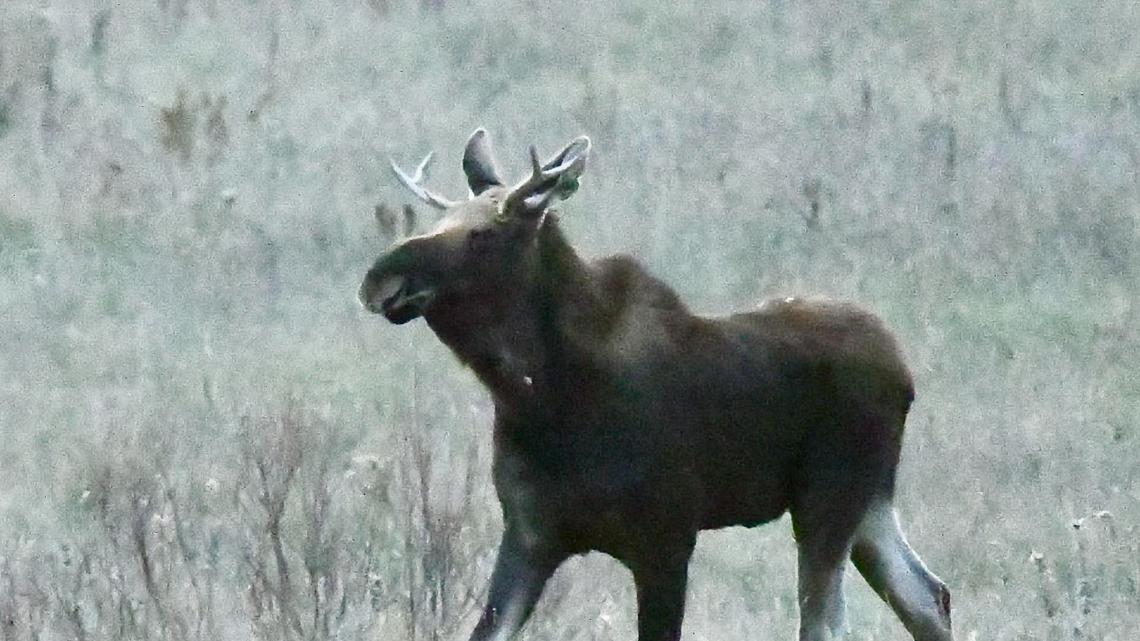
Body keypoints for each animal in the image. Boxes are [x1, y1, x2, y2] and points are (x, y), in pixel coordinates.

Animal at [358, 128, 954, 641]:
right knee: (929, 596)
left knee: (829, 622)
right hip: (869, 500)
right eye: (441, 219)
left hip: (830, 493)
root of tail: (904, 371)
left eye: (482, 233)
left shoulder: (666, 536)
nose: (378, 278)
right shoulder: (531, 533)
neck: (537, 397)